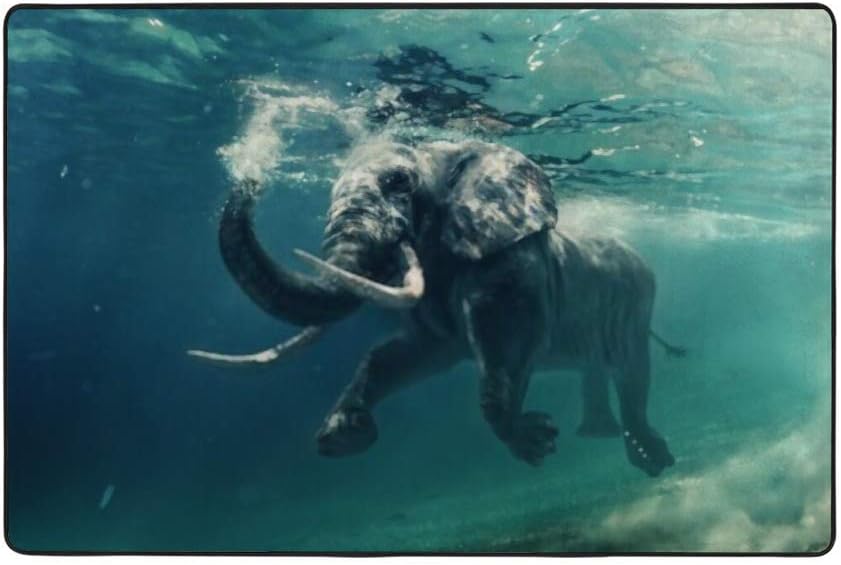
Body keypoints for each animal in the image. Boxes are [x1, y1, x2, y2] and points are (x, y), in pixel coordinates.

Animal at [189, 139, 684, 476]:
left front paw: (536, 442)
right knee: (598, 368)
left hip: (637, 303)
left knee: (632, 373)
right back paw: (600, 435)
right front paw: (341, 437)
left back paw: (652, 460)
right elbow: (403, 354)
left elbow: (505, 347)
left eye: (398, 182)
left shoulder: (512, 265)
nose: (251, 181)